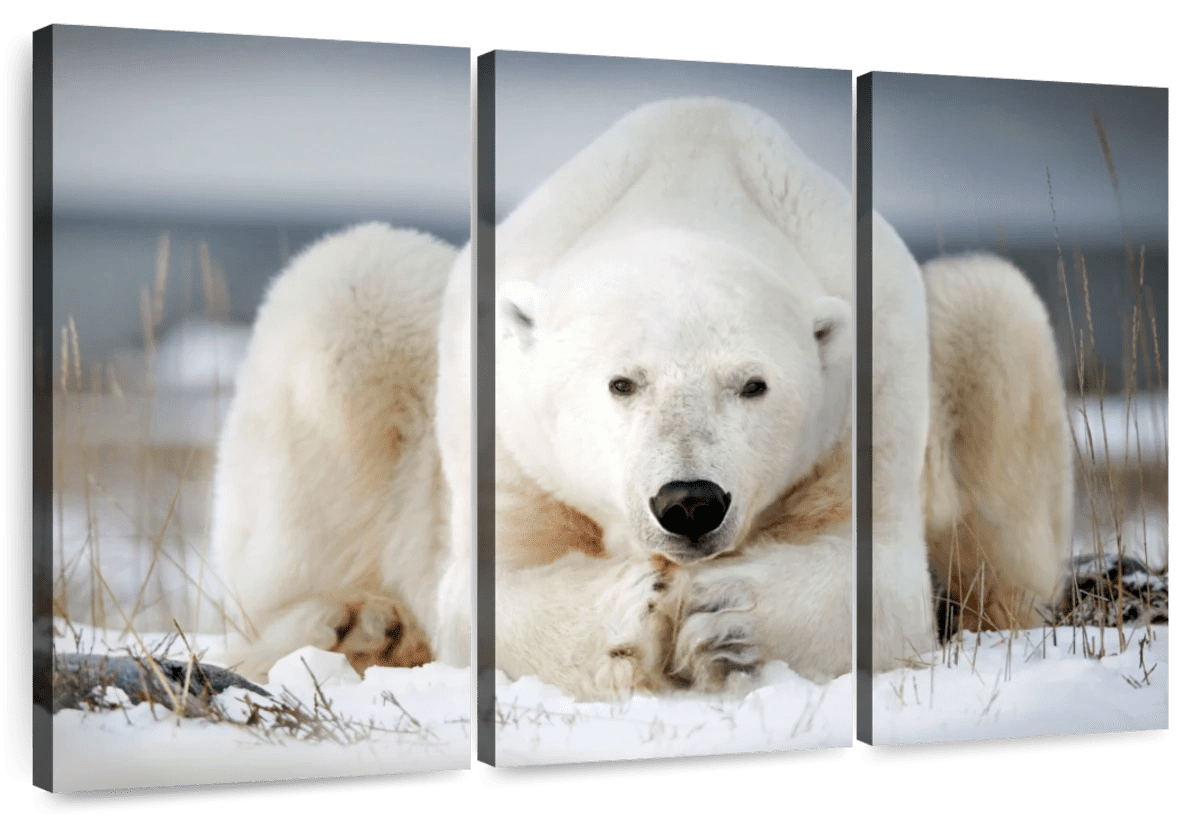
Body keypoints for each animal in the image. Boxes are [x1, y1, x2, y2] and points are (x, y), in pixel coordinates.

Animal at [492, 99, 857, 701]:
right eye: (622, 383)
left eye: (753, 385)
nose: (690, 503)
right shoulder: (510, 449)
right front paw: (633, 610)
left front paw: (723, 619)